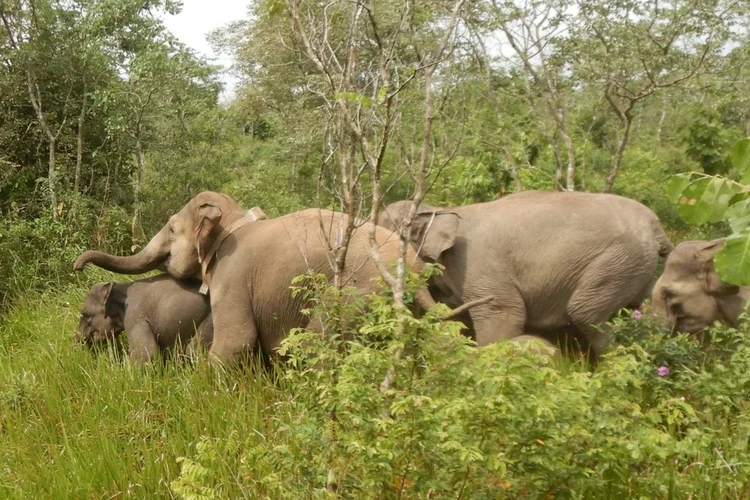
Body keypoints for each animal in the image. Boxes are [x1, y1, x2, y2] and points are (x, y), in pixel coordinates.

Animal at [377, 190, 674, 358]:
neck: (438, 209)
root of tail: (655, 225)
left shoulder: (477, 265)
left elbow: (504, 316)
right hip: (635, 269)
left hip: (617, 262)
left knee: (585, 312)